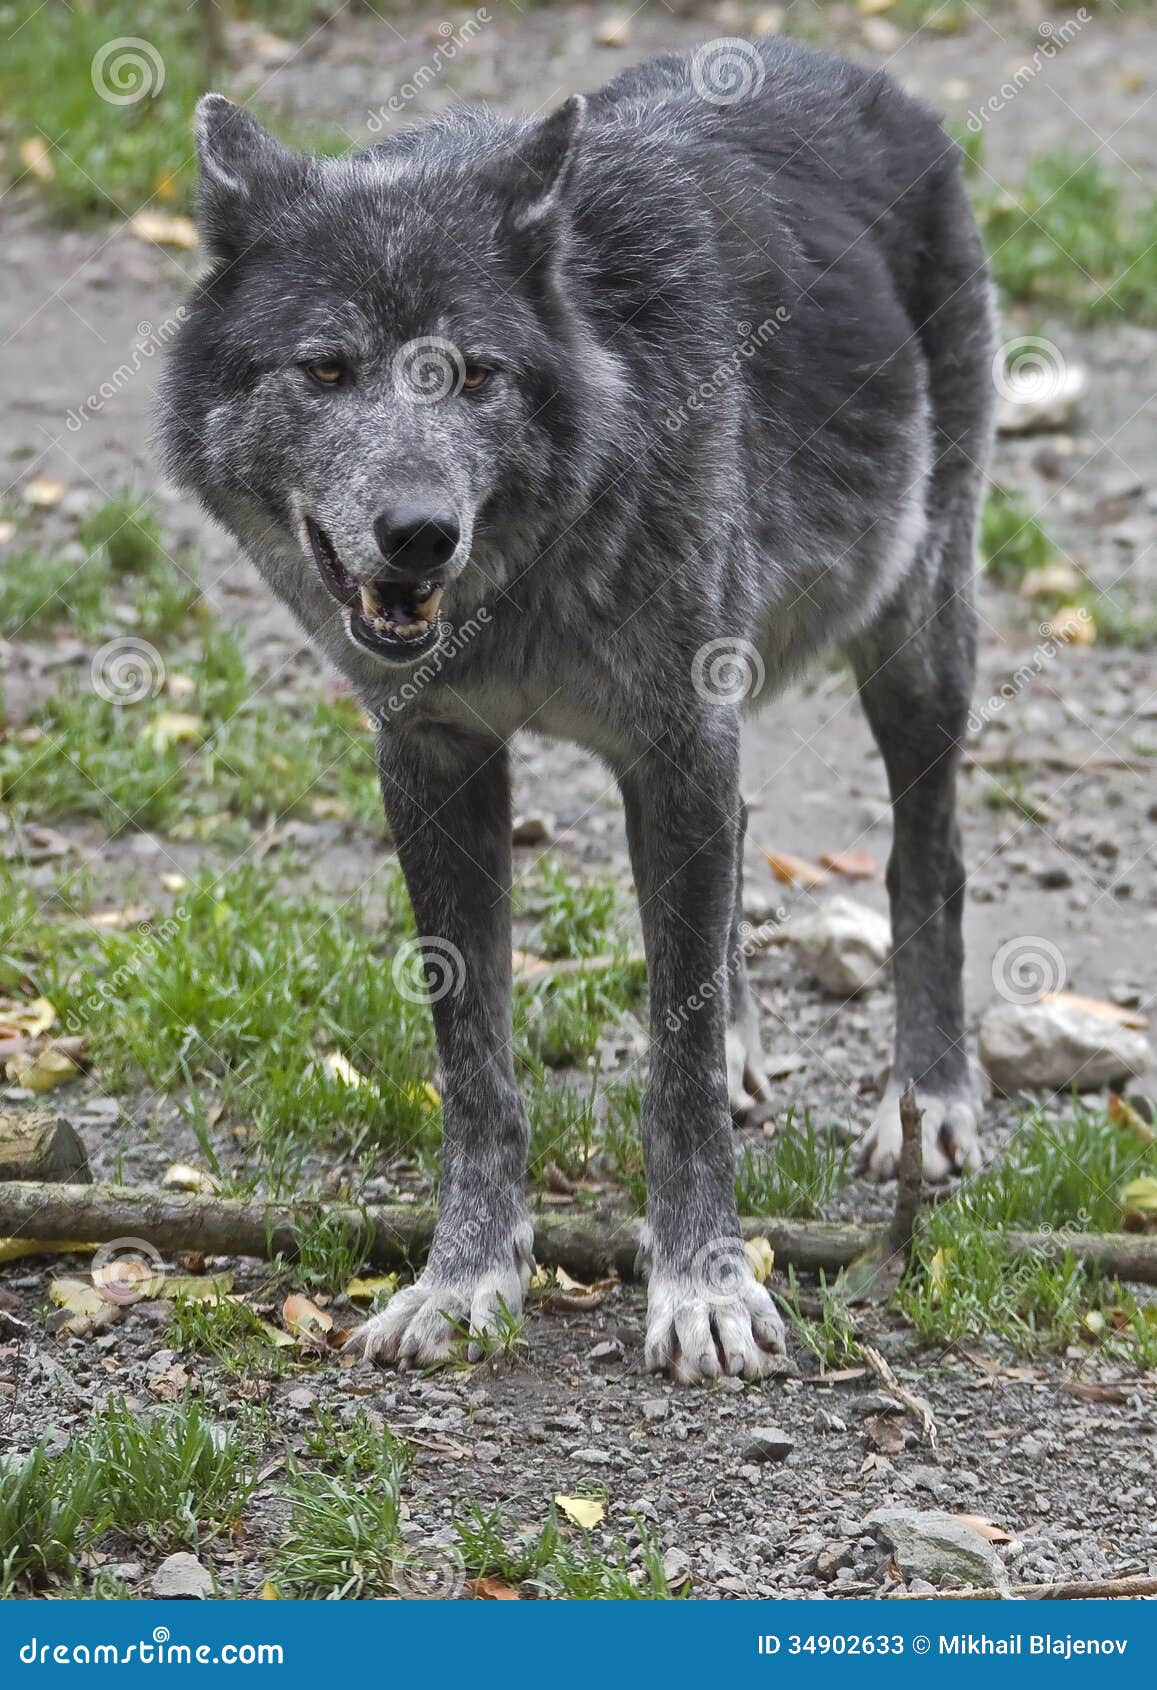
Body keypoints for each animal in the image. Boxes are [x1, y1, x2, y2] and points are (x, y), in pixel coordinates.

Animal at [160, 34, 994, 1383]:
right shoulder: (438, 753)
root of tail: (832, 60)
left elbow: (676, 1073)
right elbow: (476, 1065)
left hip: (915, 639)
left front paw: (703, 1285)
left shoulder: (676, 738)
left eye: (473, 377)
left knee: (929, 858)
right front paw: (464, 1279)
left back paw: (930, 1102)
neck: (521, 577)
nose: (417, 534)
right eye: (327, 369)